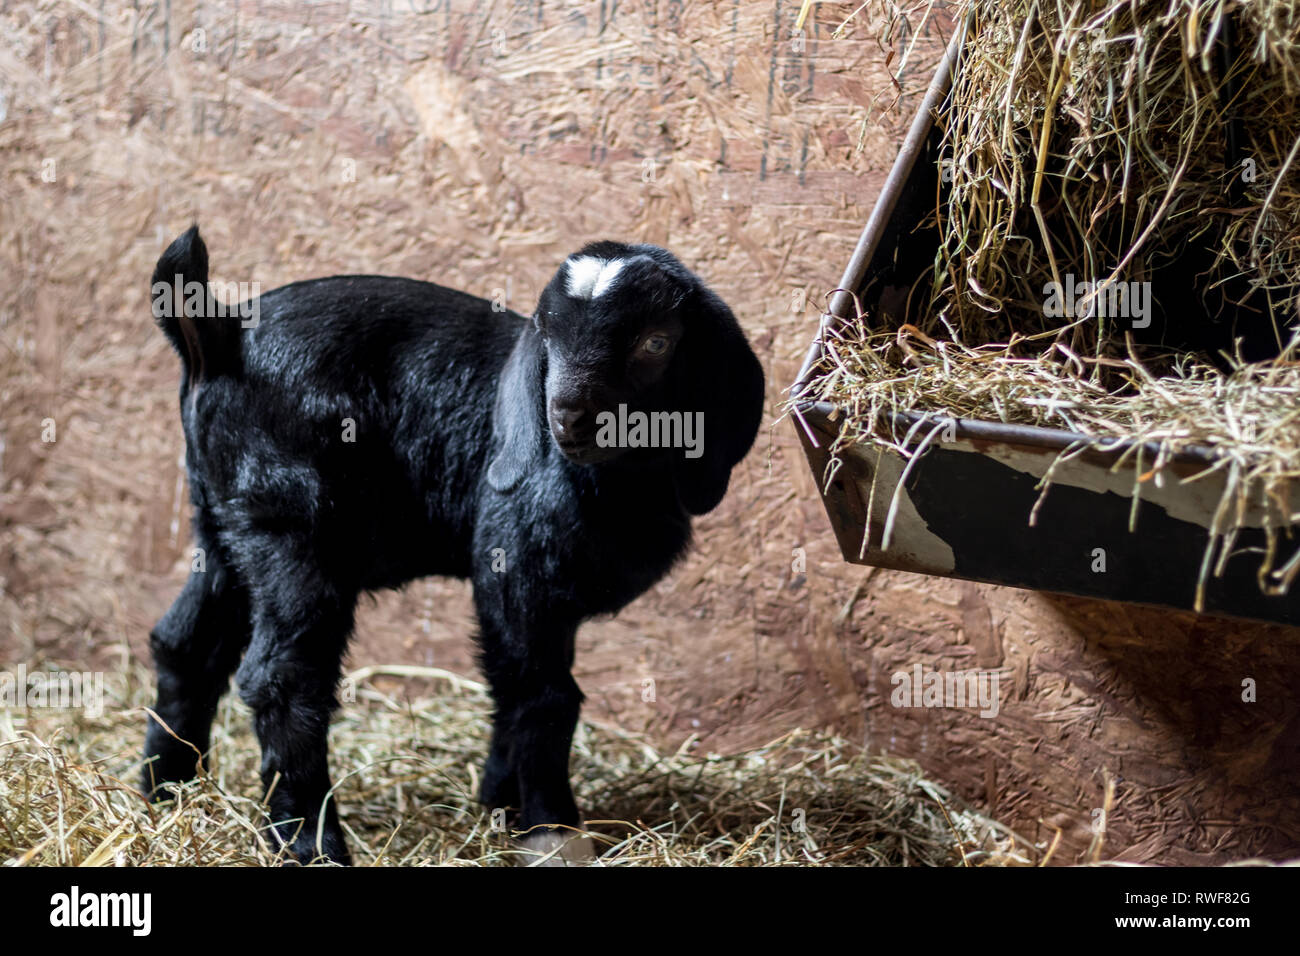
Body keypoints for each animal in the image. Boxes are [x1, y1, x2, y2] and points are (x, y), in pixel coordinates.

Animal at [142, 226, 765, 865]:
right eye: (547, 336)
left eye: (656, 342)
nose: (567, 418)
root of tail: (221, 338)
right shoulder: (515, 564)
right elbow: (543, 697)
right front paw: (553, 832)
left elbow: (510, 687)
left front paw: (500, 805)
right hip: (291, 522)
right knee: (283, 676)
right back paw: (311, 841)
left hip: (221, 522)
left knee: (184, 644)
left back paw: (167, 794)